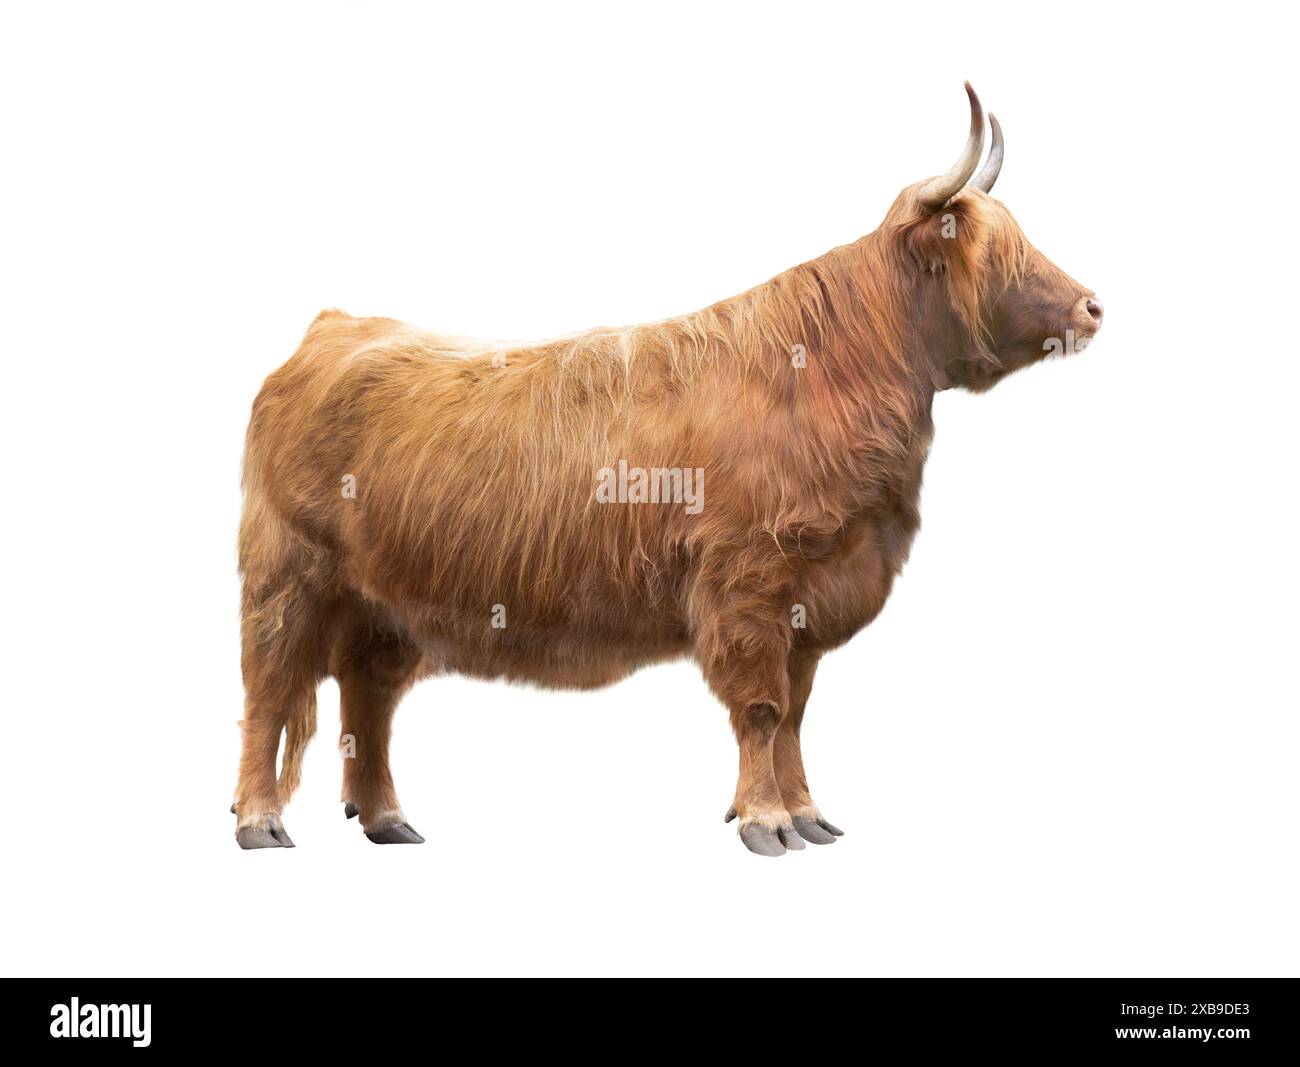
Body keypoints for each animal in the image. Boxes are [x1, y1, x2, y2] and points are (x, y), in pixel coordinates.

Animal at [233, 83, 1102, 855]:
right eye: (993, 248)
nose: (1093, 306)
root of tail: (335, 327)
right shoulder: (748, 585)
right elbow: (761, 710)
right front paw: (767, 822)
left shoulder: (810, 600)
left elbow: (794, 714)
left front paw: (808, 813)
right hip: (288, 577)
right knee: (269, 694)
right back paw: (259, 822)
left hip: (382, 603)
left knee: (368, 698)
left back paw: (387, 818)